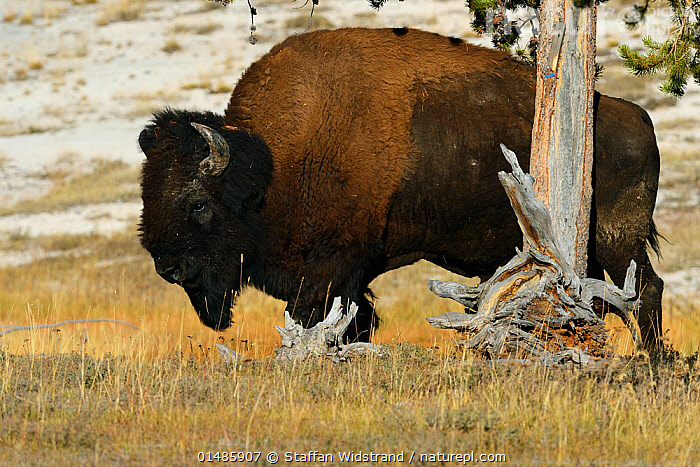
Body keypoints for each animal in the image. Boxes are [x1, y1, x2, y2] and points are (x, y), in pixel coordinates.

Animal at [138, 28, 663, 347]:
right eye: (147, 197)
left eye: (198, 204)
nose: (168, 267)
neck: (270, 166)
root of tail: (638, 118)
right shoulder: (348, 276)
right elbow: (355, 321)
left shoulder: (332, 264)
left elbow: (315, 316)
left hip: (618, 241)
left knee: (645, 292)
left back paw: (654, 362)